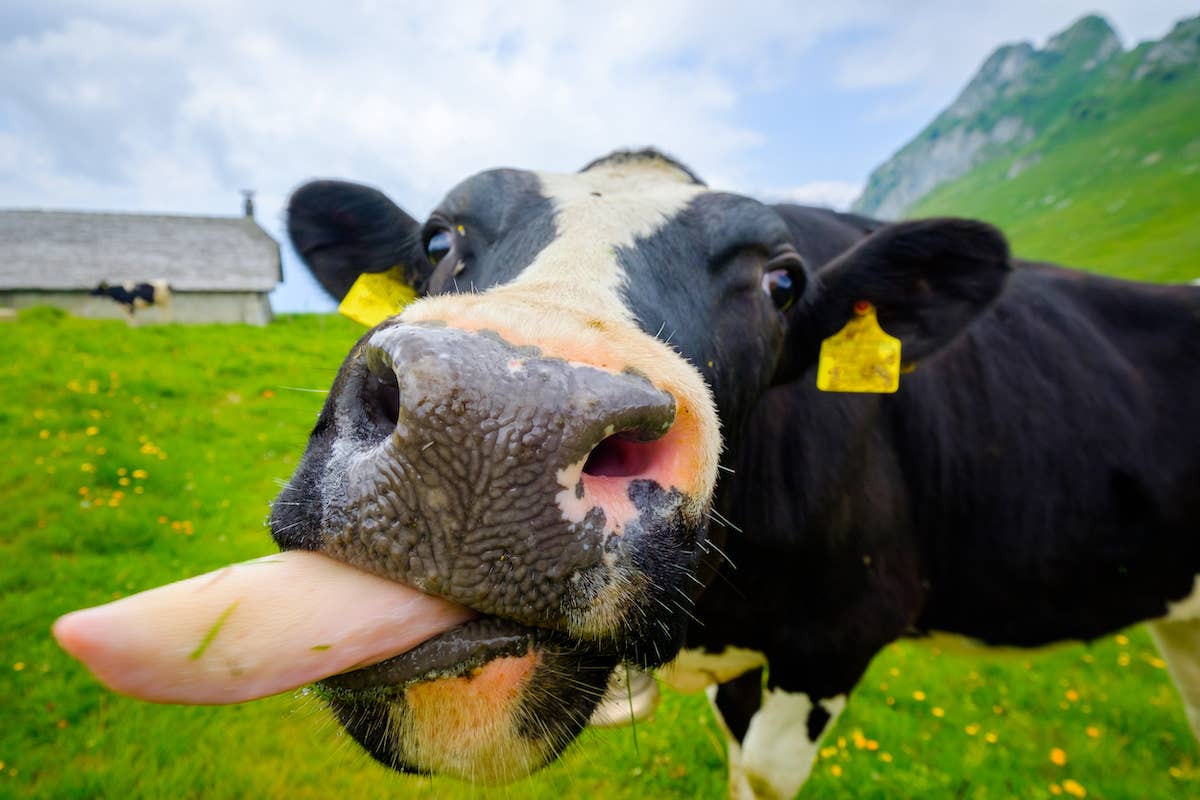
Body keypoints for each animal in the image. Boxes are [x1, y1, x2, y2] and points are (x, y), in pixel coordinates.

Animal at [271, 149, 1200, 798]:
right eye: (437, 237)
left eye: (782, 281)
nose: (493, 424)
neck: (713, 616)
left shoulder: (835, 637)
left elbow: (760, 771)